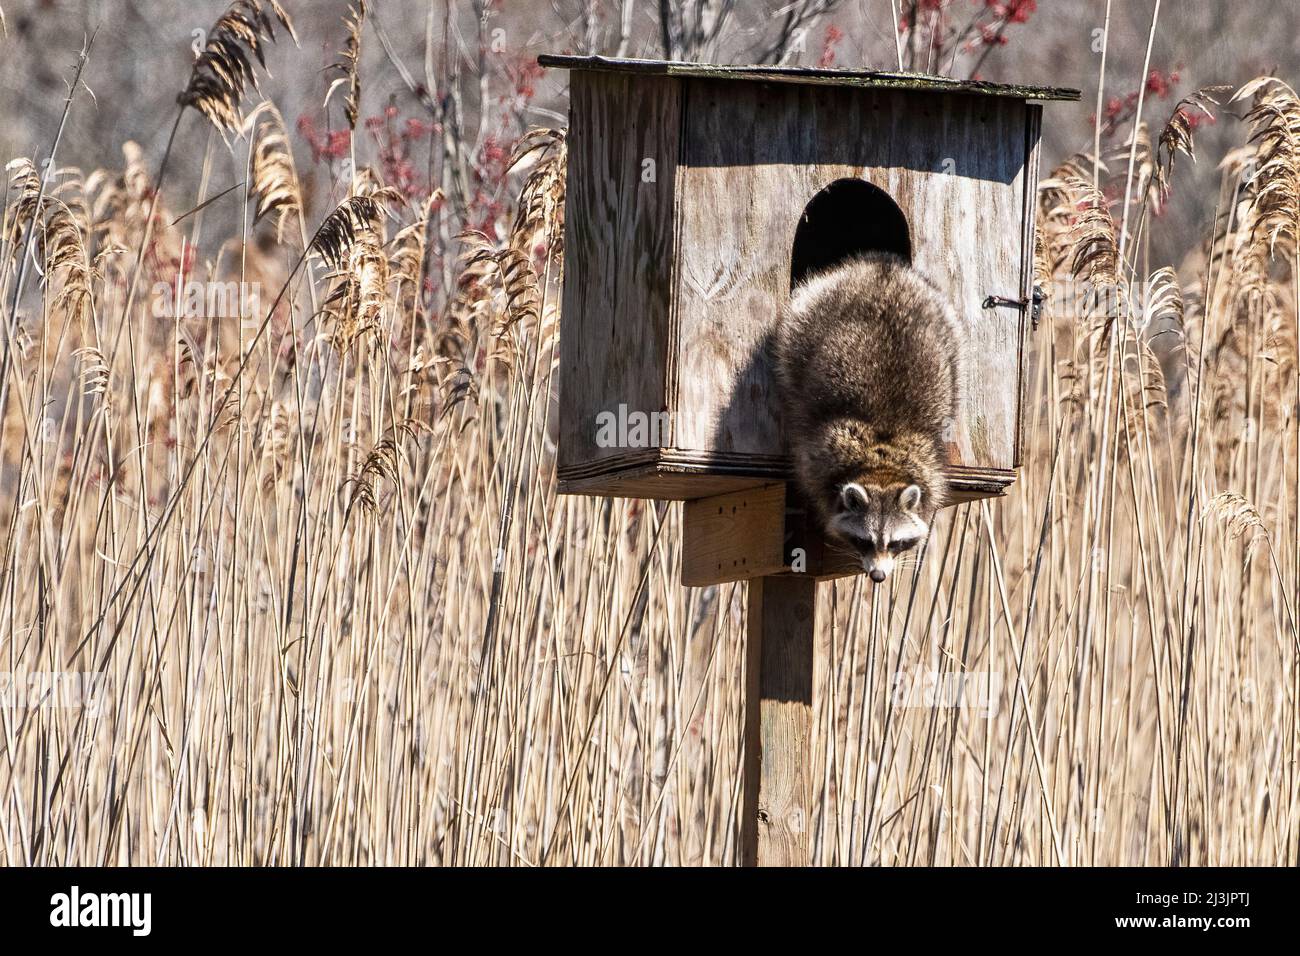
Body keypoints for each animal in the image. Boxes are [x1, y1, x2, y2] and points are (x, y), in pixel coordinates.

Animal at [774, 251, 961, 584]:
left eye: (896, 542)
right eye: (864, 540)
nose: (878, 576)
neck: (881, 465)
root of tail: (879, 267)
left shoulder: (932, 467)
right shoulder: (819, 457)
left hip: (946, 326)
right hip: (808, 316)